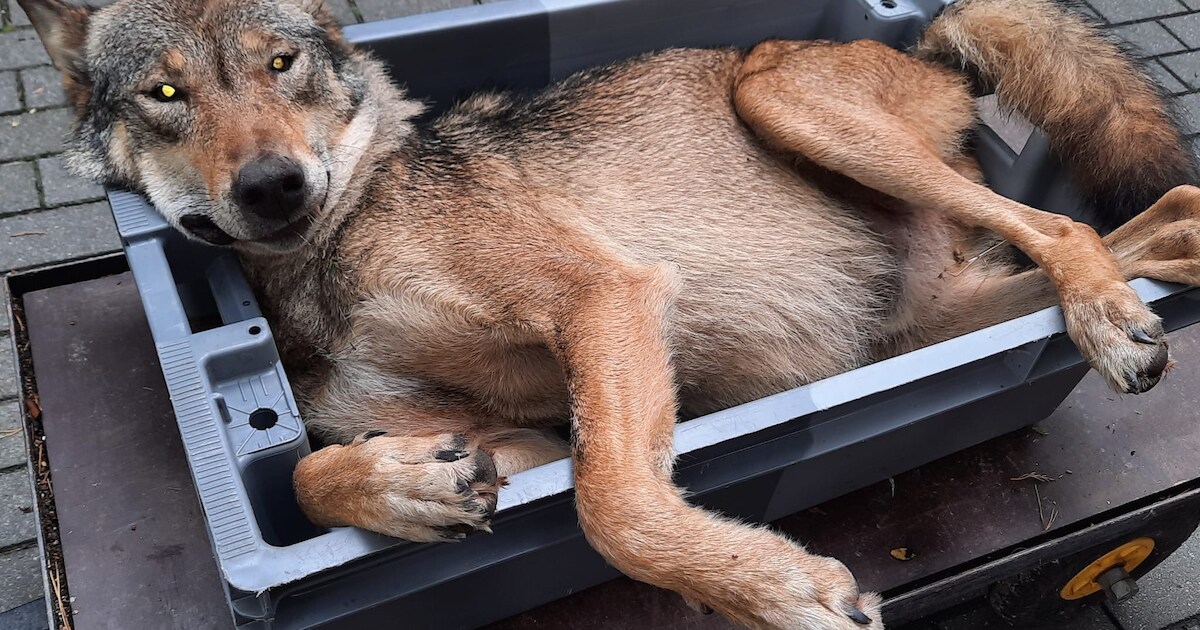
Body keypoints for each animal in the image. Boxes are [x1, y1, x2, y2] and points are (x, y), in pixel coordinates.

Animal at [19, 0, 1200, 626]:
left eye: (282, 63)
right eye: (165, 96)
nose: (272, 186)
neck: (328, 253)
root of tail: (919, 39)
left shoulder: (605, 299)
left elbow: (615, 511)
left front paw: (778, 591)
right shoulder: (528, 437)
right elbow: (313, 479)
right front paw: (404, 487)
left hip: (777, 95)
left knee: (1070, 227)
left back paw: (1109, 321)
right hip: (922, 318)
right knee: (1163, 217)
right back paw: (1149, 292)